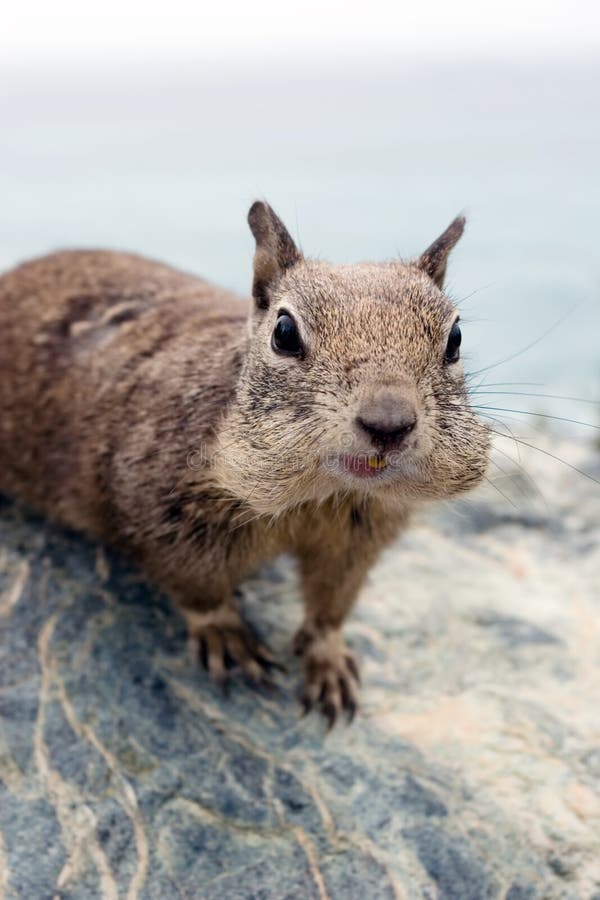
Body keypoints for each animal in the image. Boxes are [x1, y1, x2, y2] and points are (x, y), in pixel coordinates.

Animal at [0, 201, 490, 725]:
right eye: (284, 332)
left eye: (456, 337)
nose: (389, 424)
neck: (320, 495)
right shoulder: (163, 518)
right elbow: (197, 589)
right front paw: (226, 634)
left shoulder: (358, 539)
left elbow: (332, 603)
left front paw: (328, 657)